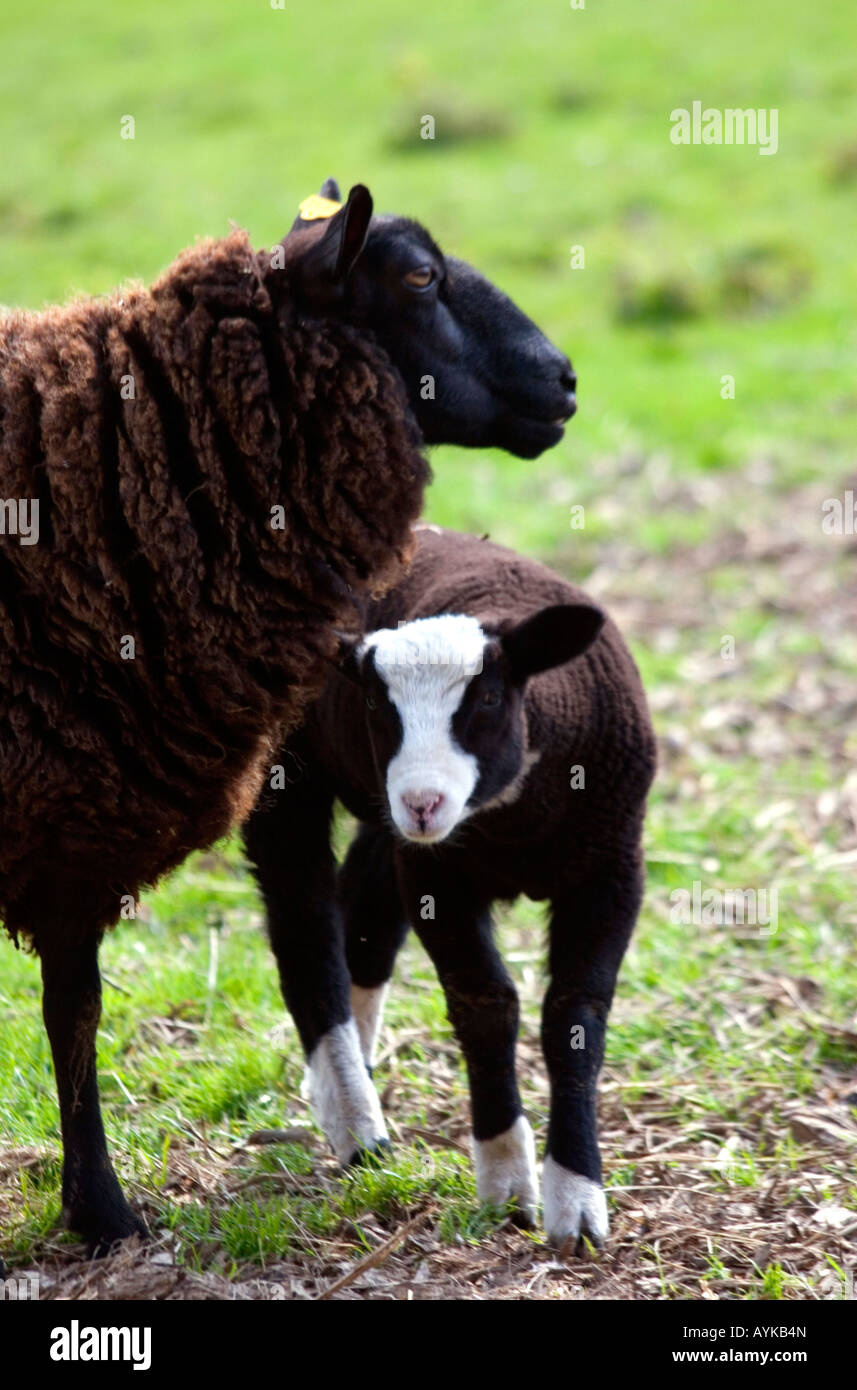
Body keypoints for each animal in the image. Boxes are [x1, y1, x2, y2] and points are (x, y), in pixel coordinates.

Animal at [245, 524, 656, 1251]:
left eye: (487, 697)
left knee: (363, 918)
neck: (516, 818)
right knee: (305, 934)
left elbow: (574, 1016)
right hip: (287, 780)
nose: (423, 802)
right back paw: (357, 1124)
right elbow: (484, 1004)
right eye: (376, 704)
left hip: (390, 825)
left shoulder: (609, 872)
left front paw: (577, 1200)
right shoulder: (438, 876)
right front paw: (507, 1183)